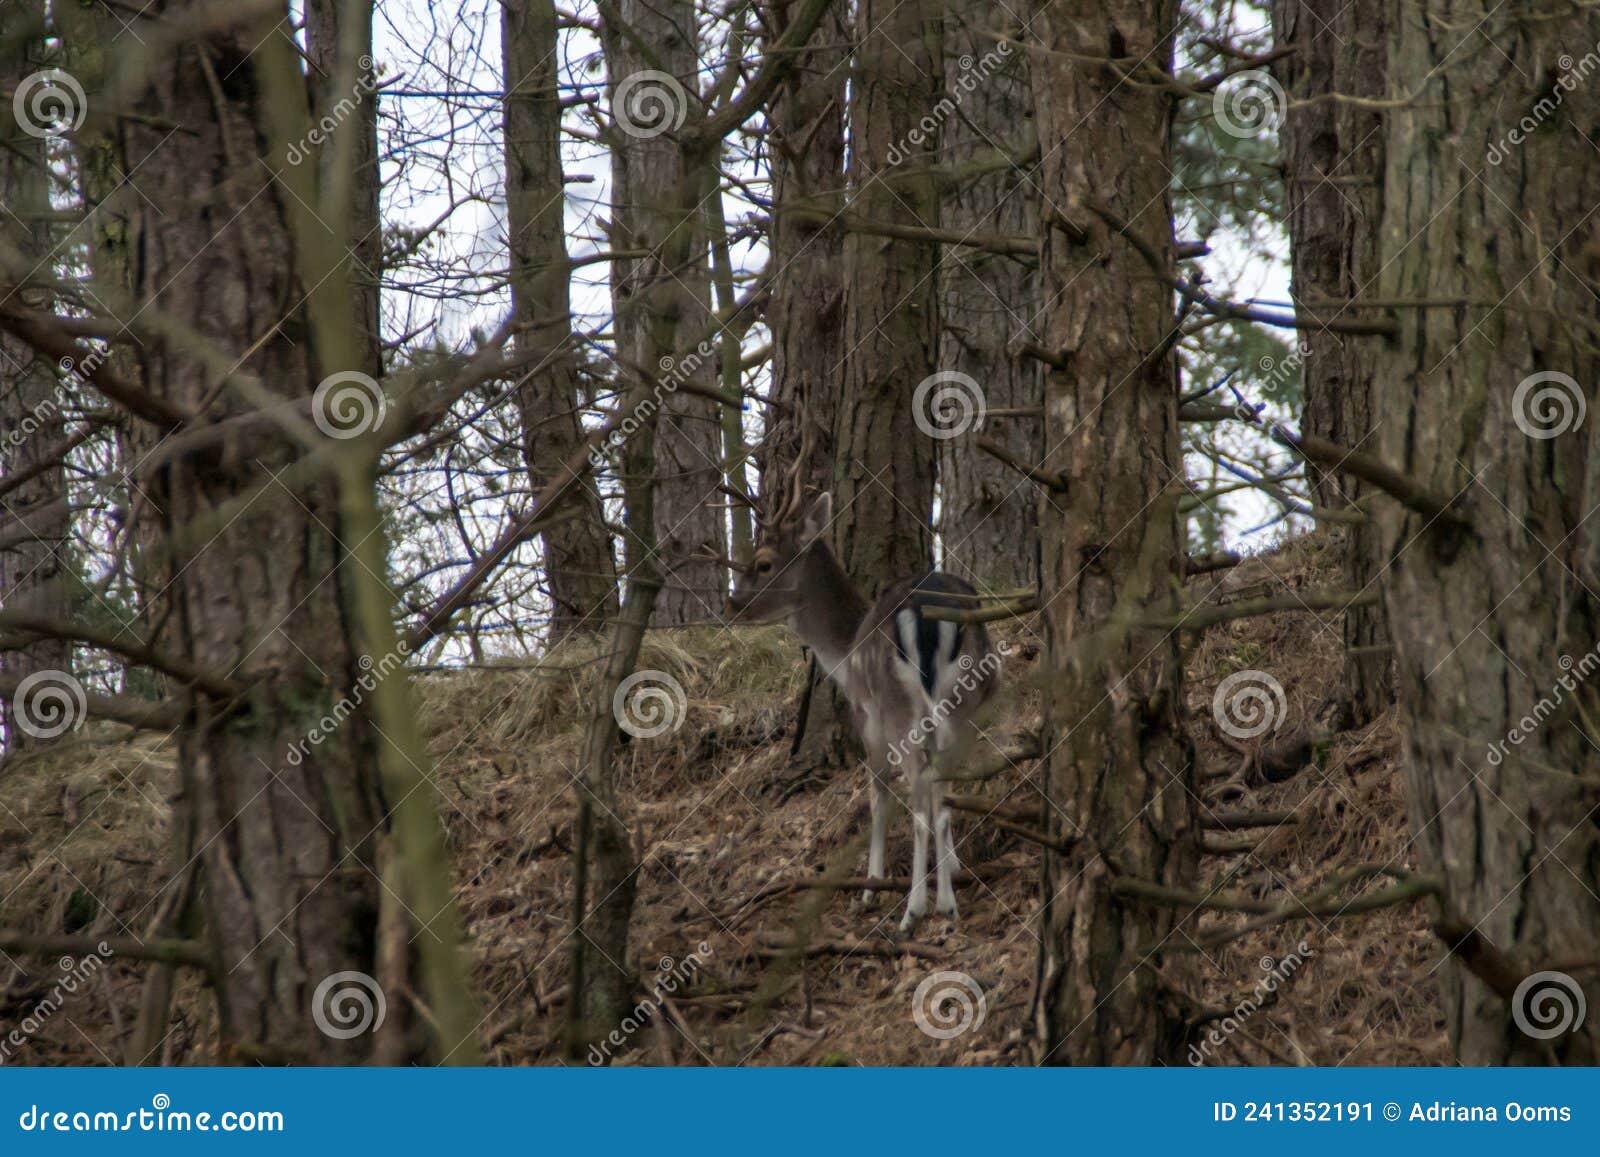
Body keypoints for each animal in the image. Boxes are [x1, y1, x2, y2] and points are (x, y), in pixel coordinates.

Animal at [725, 451, 1002, 932]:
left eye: (763, 563)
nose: (733, 604)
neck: (845, 647)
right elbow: (938, 797)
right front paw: (951, 868)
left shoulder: (866, 718)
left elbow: (878, 796)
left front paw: (872, 886)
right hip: (966, 698)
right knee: (941, 786)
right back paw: (947, 901)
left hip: (897, 708)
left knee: (917, 796)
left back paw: (914, 909)